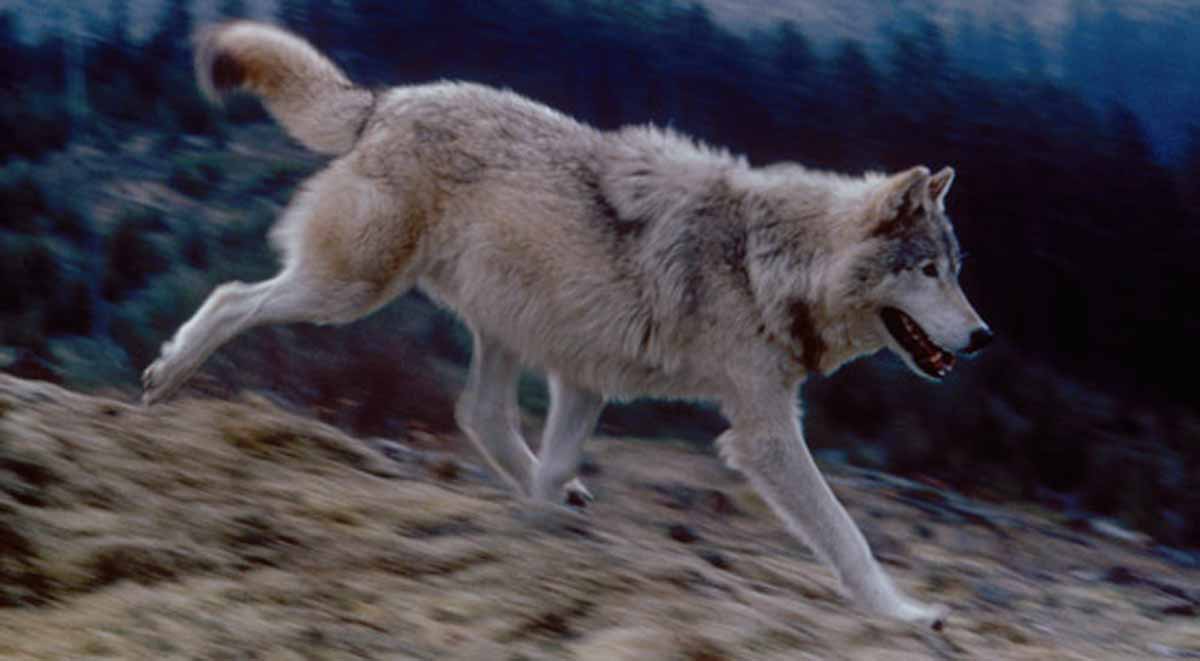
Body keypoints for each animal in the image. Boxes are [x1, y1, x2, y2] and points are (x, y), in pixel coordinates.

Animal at [142, 21, 993, 628]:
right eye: (928, 271)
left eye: (956, 268)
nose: (984, 336)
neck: (766, 258)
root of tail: (386, 101)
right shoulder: (762, 431)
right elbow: (846, 533)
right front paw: (905, 613)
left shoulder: (589, 379)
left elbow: (549, 470)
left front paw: (544, 533)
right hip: (351, 291)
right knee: (233, 296)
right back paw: (166, 375)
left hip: (517, 332)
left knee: (478, 413)